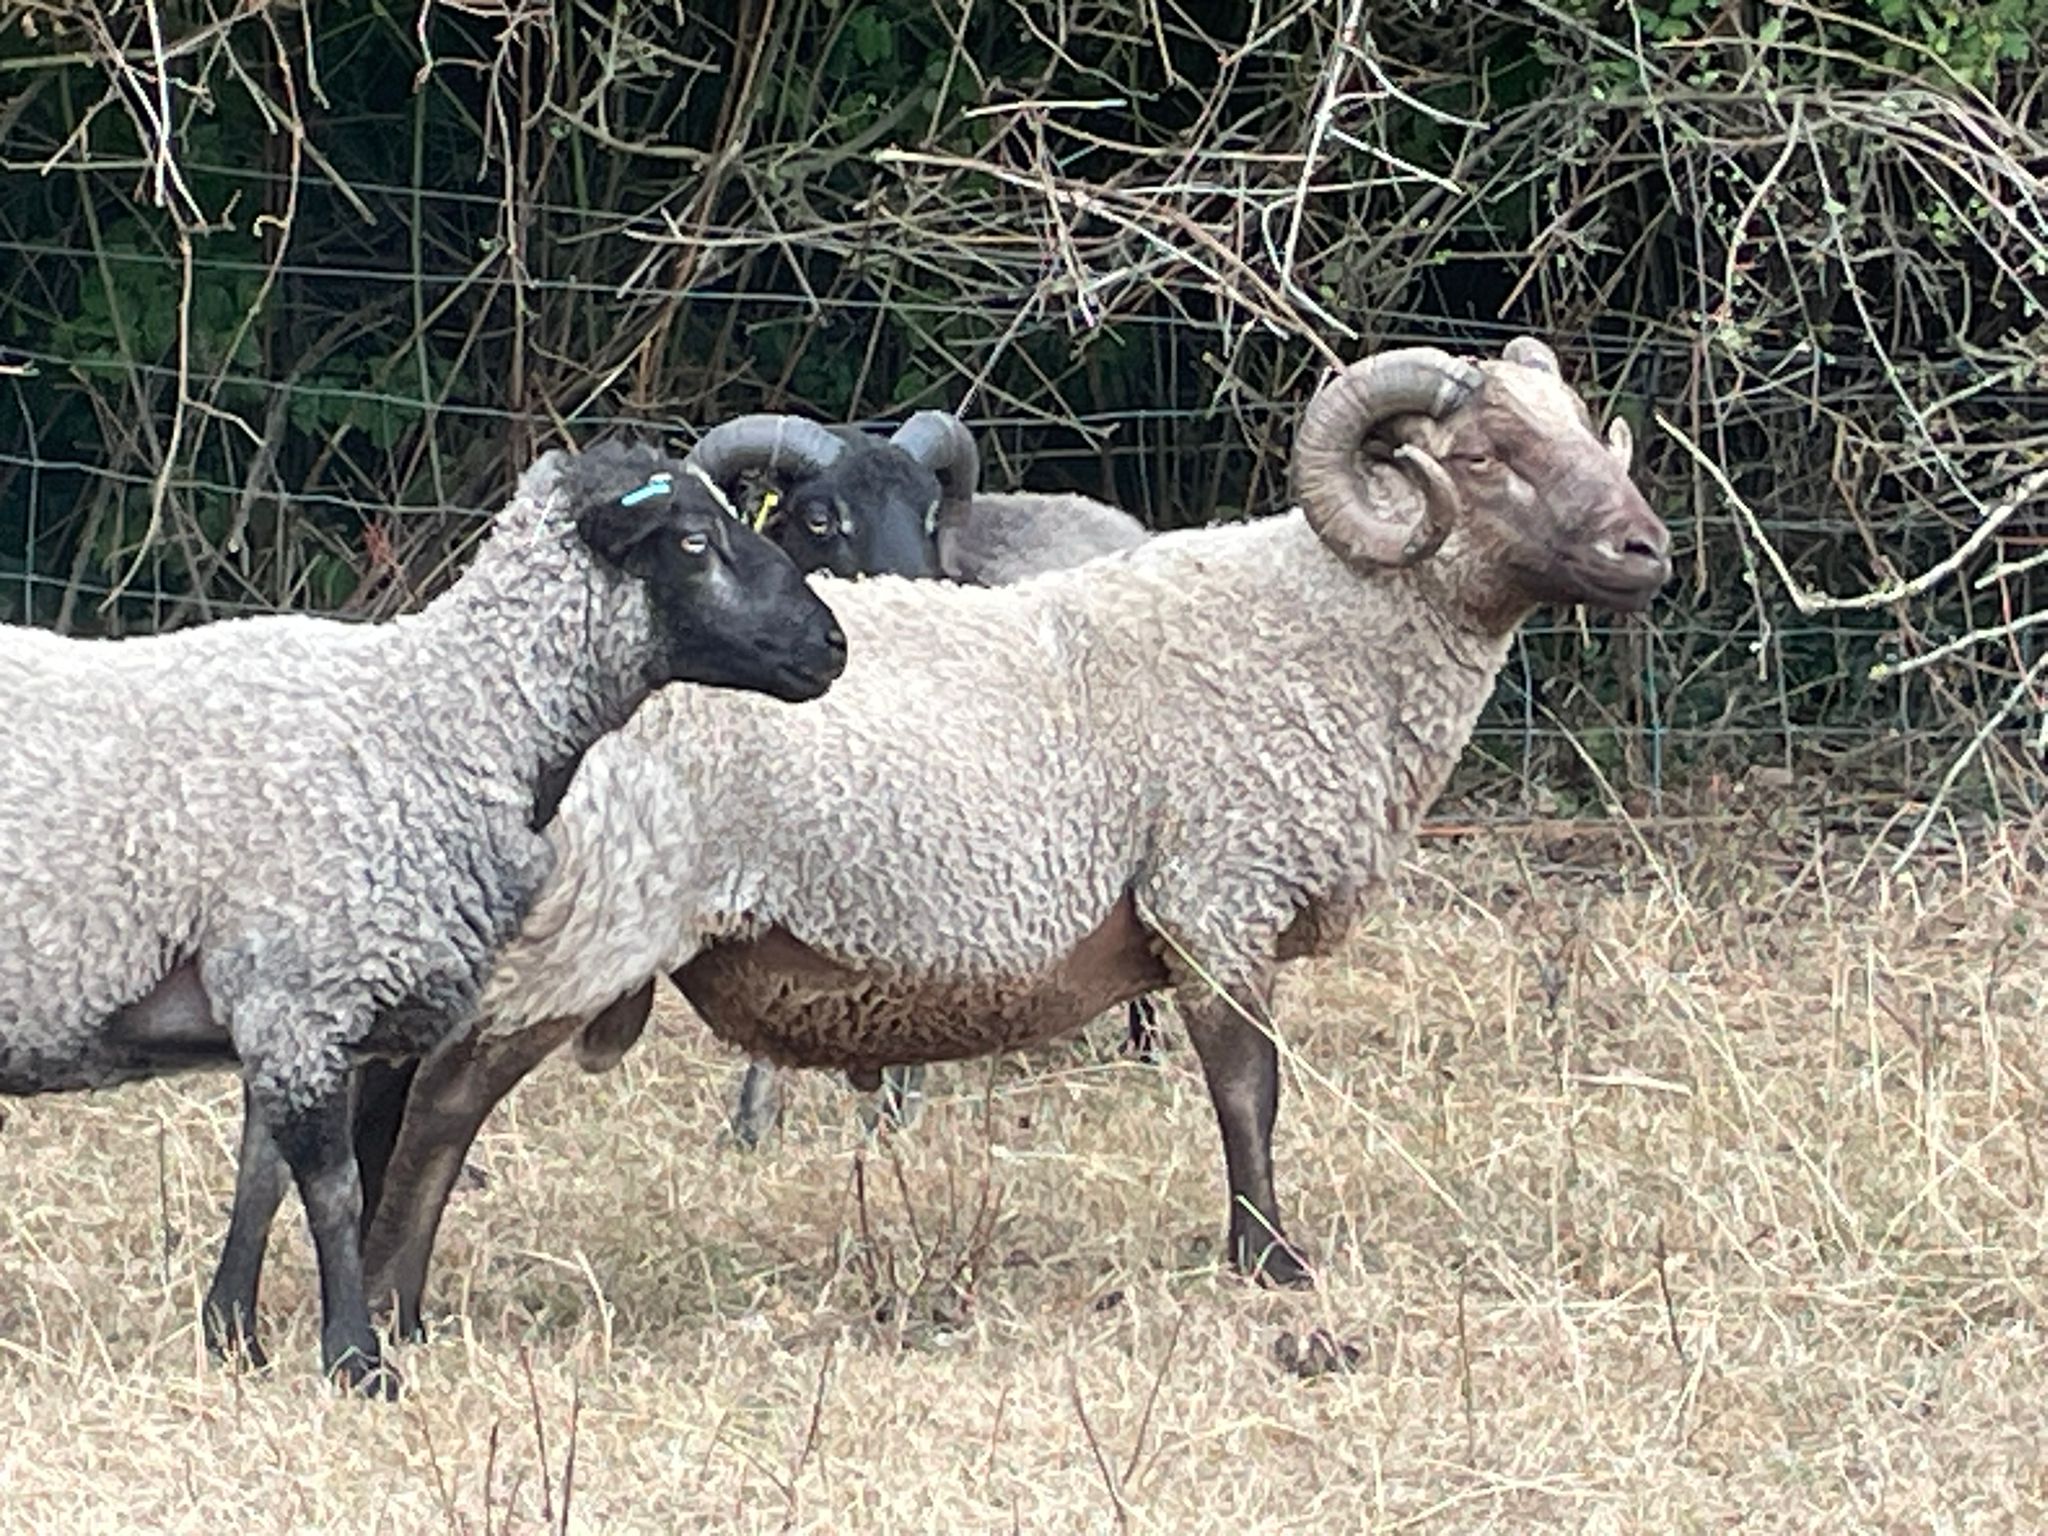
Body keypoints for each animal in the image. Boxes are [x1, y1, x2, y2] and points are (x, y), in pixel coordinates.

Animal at [0, 441, 848, 1394]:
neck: (444, 724)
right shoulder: (306, 993)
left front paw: (235, 1341)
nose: (833, 645)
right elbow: (334, 1190)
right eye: (696, 541)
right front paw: (356, 1362)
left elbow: (259, 1181)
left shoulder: (276, 1002)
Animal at [338, 335, 1671, 1341]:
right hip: (591, 921)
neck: (1317, 626)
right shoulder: (1214, 894)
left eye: (1580, 428)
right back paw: (399, 1312)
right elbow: (1249, 1089)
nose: (1644, 550)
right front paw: (1269, 1261)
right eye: (1483, 456)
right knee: (443, 1101)